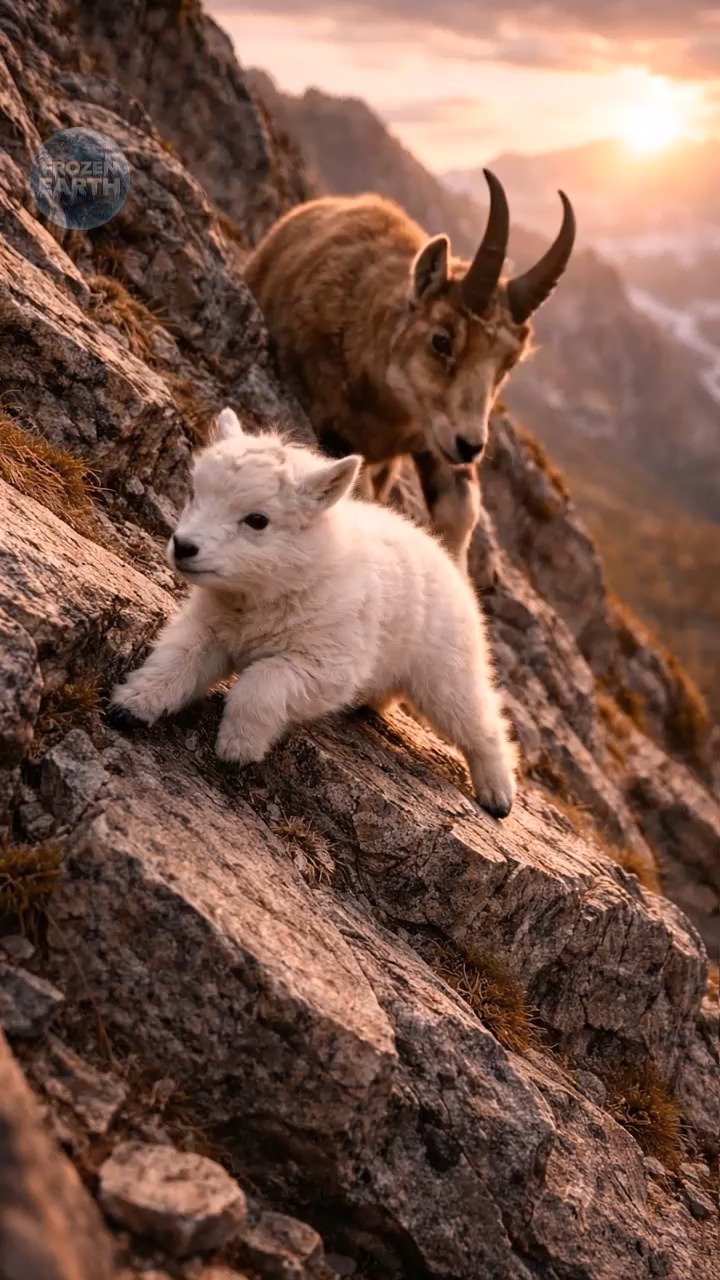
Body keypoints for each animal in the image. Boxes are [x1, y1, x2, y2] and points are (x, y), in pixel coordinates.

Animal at [109, 408, 518, 818]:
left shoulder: (329, 660)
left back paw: (497, 794)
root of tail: (448, 562)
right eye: (195, 493)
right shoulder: (208, 626)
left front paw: (238, 746)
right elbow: (175, 662)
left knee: (478, 720)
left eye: (257, 520)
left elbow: (261, 684)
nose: (184, 547)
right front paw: (131, 706)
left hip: (446, 670)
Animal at [244, 171, 575, 568]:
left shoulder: (431, 437)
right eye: (441, 340)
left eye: (509, 361)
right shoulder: (330, 421)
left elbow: (458, 511)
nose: (470, 446)